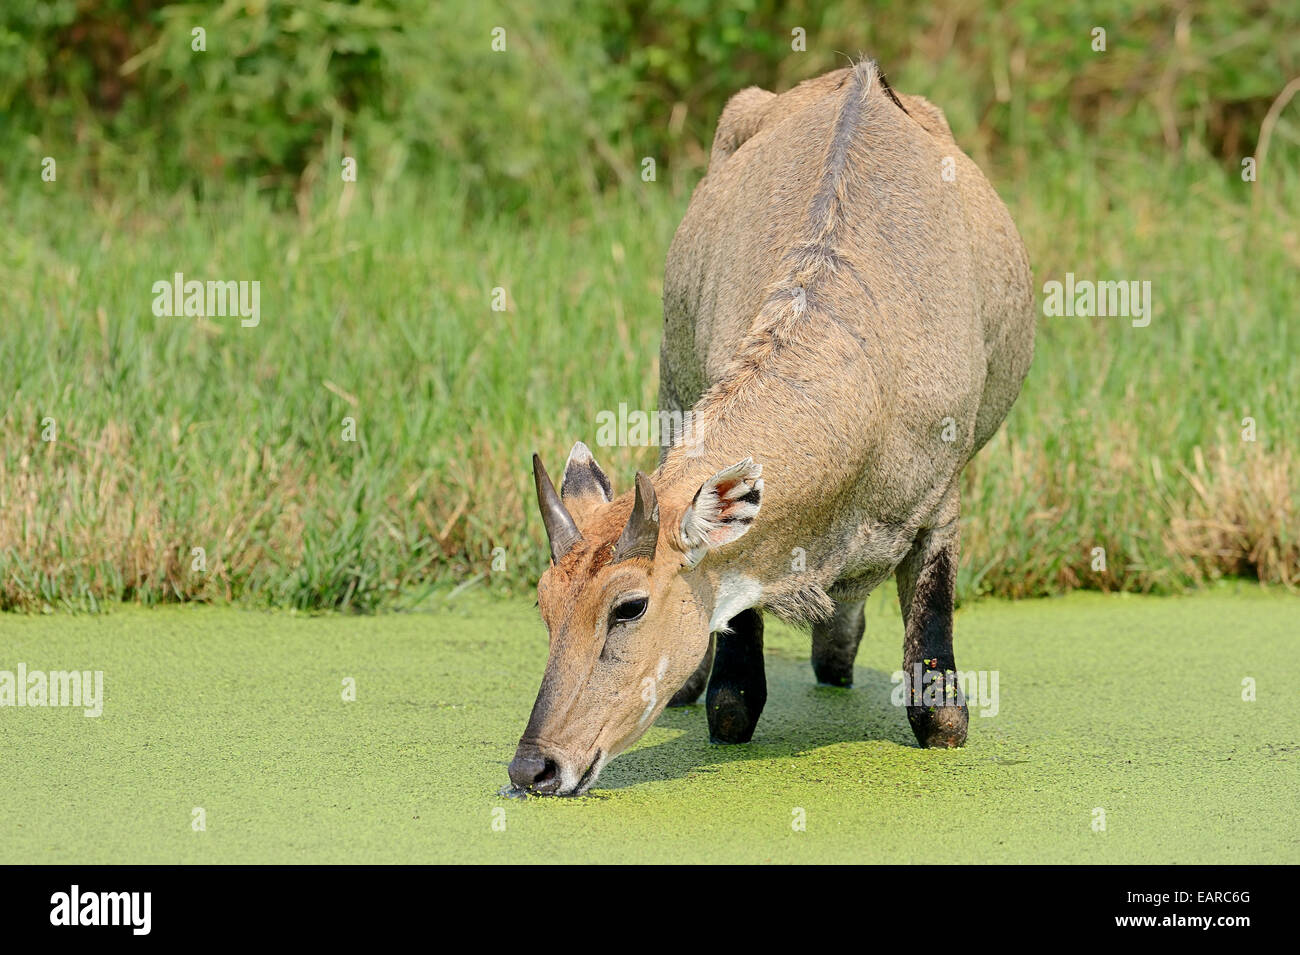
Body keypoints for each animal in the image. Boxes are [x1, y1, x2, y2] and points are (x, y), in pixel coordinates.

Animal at [508, 60, 1035, 796]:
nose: (534, 765)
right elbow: (732, 703)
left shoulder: (940, 510)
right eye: (544, 603)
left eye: (628, 606)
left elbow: (943, 718)